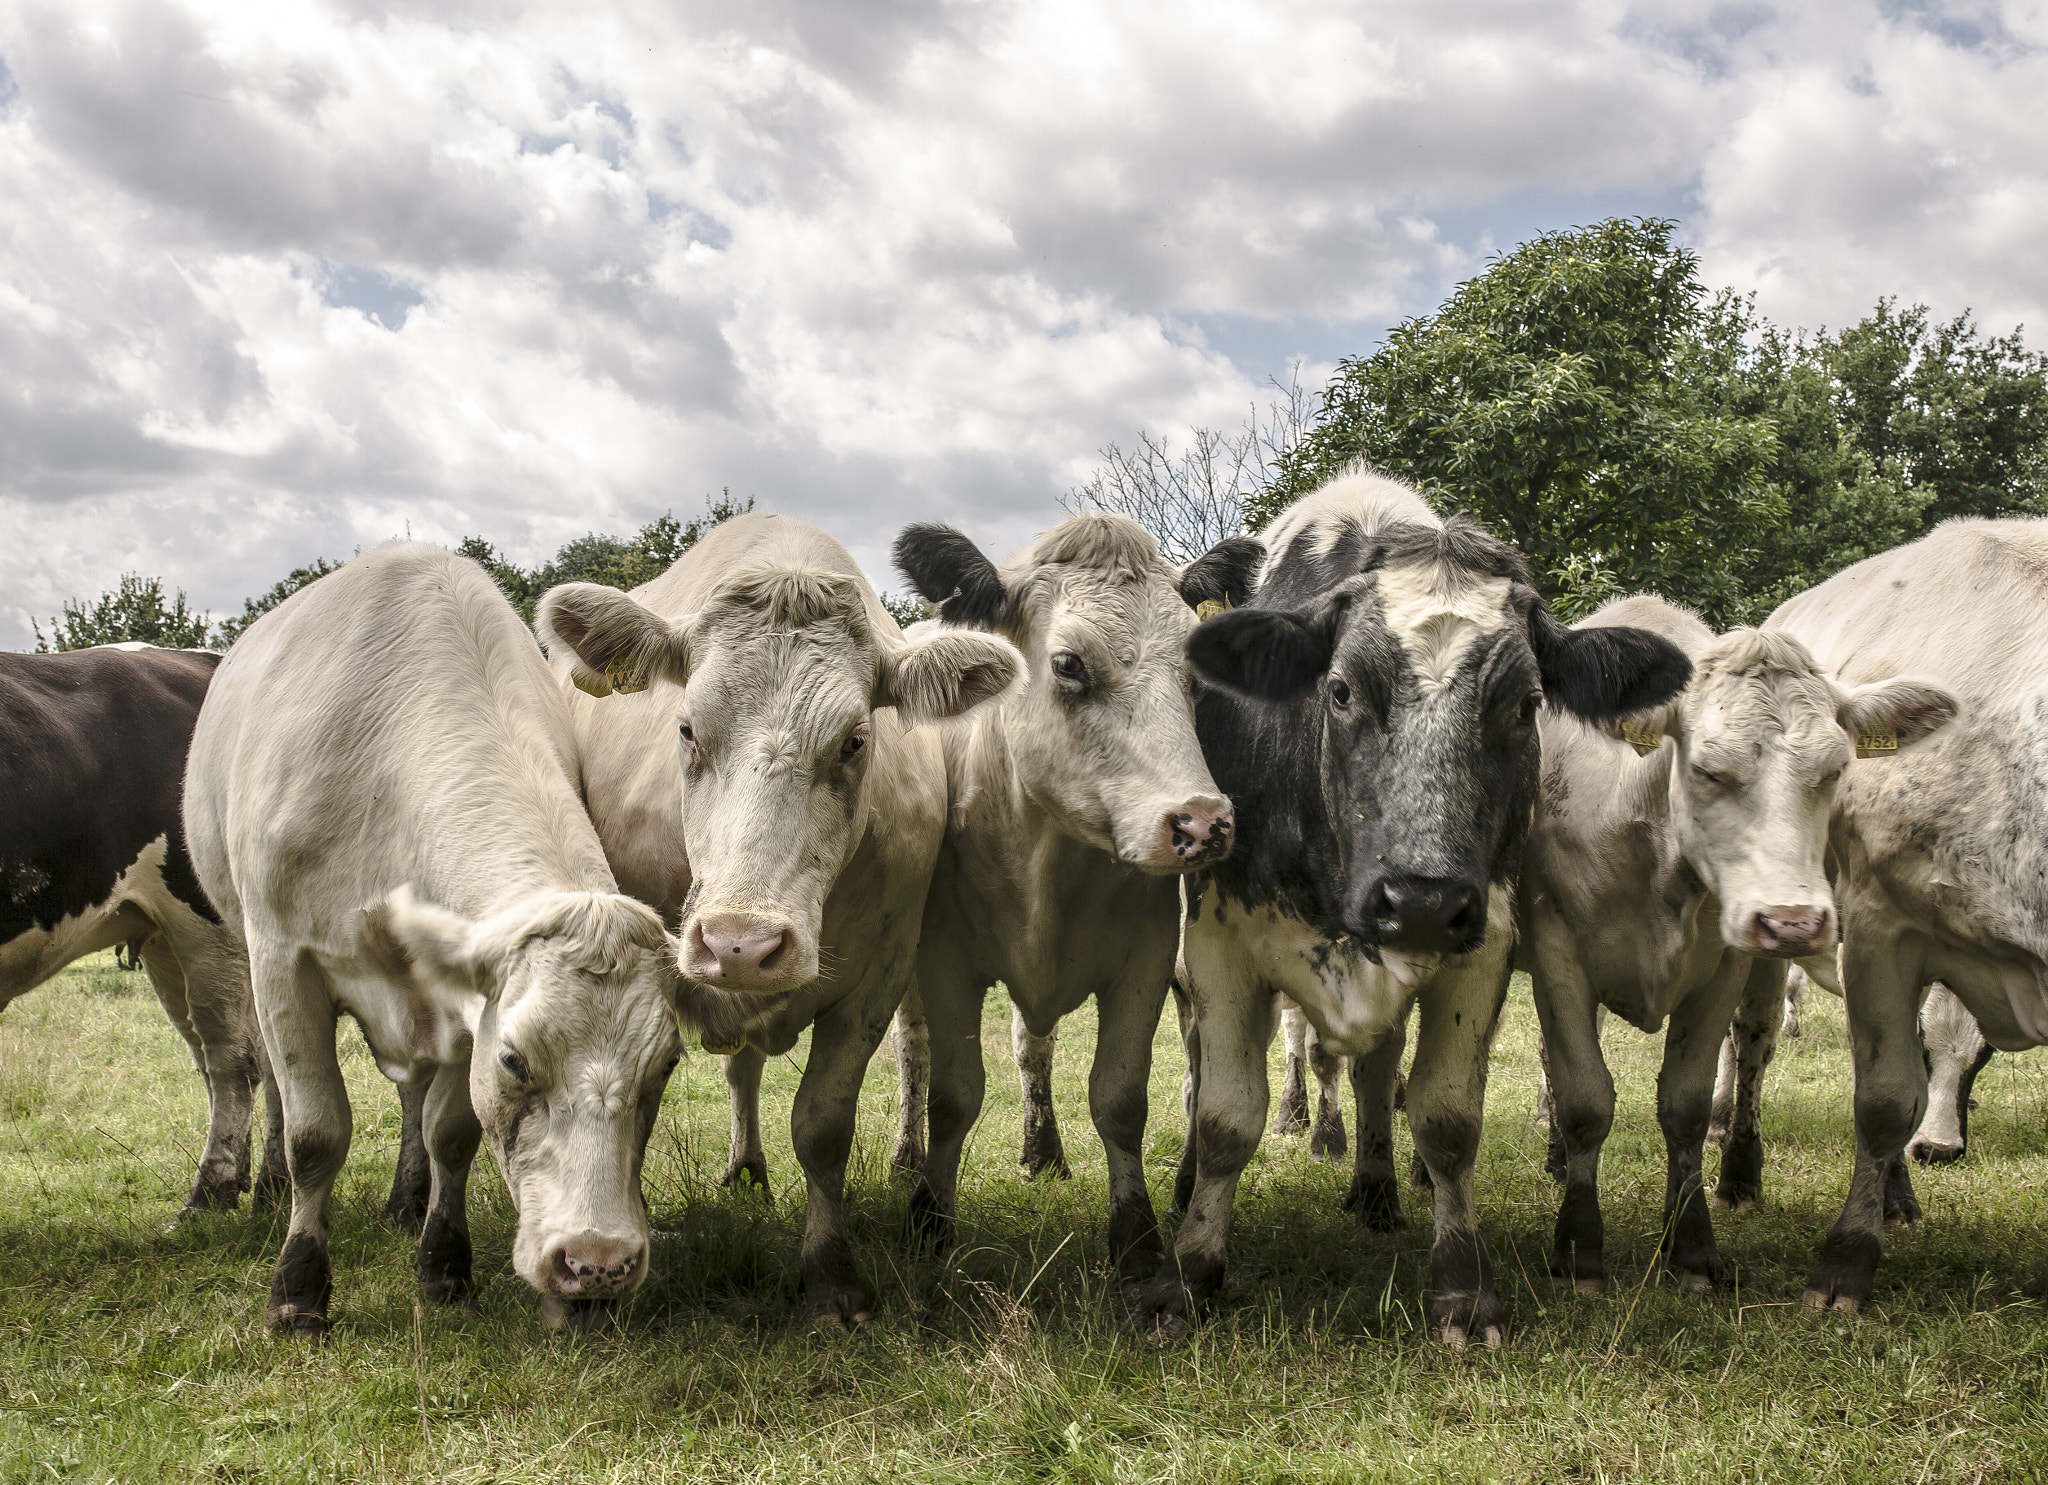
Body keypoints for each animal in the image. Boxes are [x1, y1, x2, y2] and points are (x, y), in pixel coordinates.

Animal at [185, 543, 725, 1337]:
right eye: (515, 1060)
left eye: (665, 1063)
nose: (597, 1264)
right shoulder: (285, 959)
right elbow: (317, 1133)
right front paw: (298, 1290)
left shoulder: (459, 999)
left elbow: (450, 1133)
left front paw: (443, 1267)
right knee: (279, 1091)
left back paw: (408, 1202)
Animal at [534, 513, 1023, 1324]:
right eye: (687, 728)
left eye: (855, 740)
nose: (741, 944)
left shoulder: (878, 974)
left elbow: (823, 1126)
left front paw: (830, 1276)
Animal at [877, 515, 1258, 1279]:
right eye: (1070, 664)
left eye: (1194, 672)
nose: (1203, 823)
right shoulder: (943, 958)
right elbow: (954, 1092)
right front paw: (930, 1217)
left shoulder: (1147, 960)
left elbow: (1120, 1098)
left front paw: (1136, 1235)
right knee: (914, 1051)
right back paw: (907, 1154)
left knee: (1034, 1047)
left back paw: (1042, 1149)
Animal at [1134, 466, 1693, 1347]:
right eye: (1339, 690)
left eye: (1526, 703)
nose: (1422, 899)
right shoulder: (1221, 943)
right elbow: (1225, 1116)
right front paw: (1186, 1273)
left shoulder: (1483, 938)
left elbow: (1446, 1117)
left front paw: (1463, 1284)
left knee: (1375, 1072)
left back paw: (1377, 1187)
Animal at [1520, 596, 1952, 1296]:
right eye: (1706, 768)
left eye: (1836, 769)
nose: (1792, 921)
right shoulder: (1556, 950)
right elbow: (1585, 1096)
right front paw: (1579, 1247)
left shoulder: (1726, 965)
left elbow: (1687, 1106)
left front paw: (1691, 1244)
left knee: (1757, 1047)